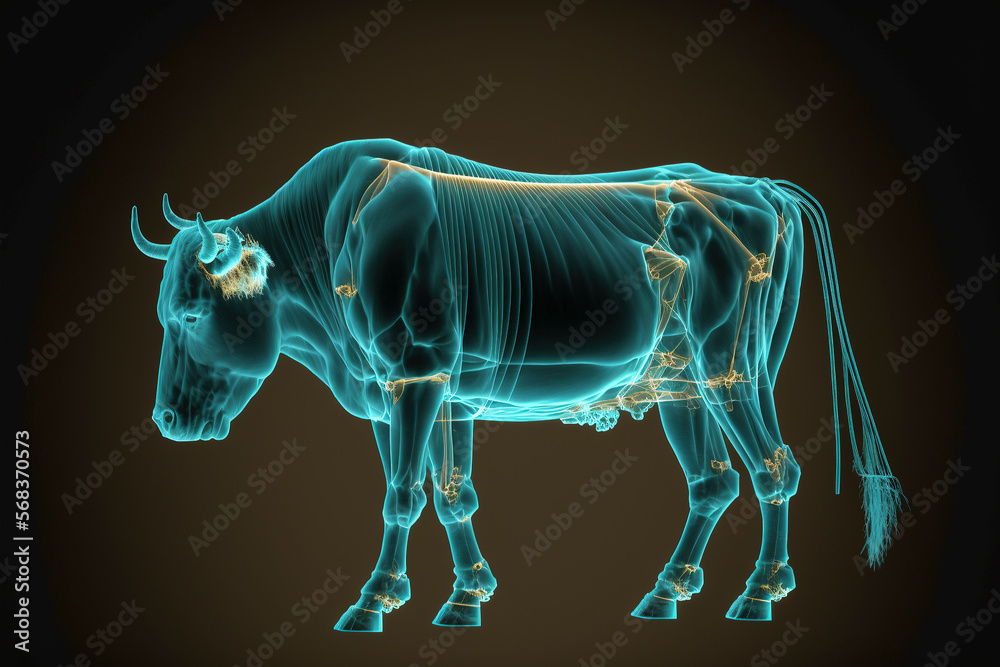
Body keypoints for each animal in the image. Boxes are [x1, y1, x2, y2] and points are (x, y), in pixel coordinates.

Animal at [131, 139, 902, 631]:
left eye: (191, 312)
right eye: (162, 313)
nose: (167, 420)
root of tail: (755, 187)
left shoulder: (413, 373)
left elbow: (402, 495)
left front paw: (374, 599)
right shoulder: (420, 390)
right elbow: (450, 495)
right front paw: (467, 595)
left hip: (730, 365)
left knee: (775, 467)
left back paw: (761, 590)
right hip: (680, 380)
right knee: (714, 481)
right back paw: (666, 591)